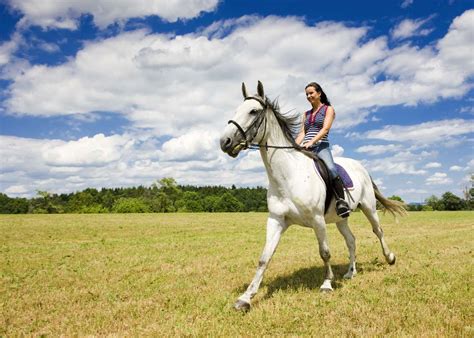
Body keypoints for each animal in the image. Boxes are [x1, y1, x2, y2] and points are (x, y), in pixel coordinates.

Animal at [220, 81, 406, 312]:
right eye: (236, 110)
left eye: (253, 111)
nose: (225, 142)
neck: (288, 176)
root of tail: (360, 166)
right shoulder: (276, 220)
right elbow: (264, 257)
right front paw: (245, 298)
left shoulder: (318, 221)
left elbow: (324, 252)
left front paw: (326, 284)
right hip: (341, 219)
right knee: (351, 240)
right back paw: (350, 272)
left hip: (369, 208)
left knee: (378, 231)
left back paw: (390, 258)